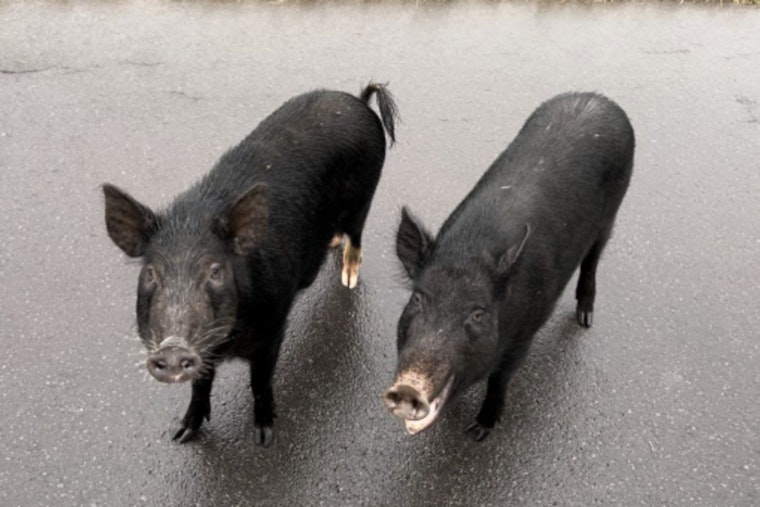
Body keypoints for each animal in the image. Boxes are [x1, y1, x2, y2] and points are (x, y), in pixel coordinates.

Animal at [103, 83, 397, 446]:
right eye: (150, 272)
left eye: (215, 271)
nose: (172, 349)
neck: (227, 346)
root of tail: (358, 99)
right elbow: (200, 385)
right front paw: (182, 434)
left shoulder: (273, 329)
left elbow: (260, 381)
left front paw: (264, 437)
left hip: (366, 194)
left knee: (356, 235)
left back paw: (348, 278)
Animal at [383, 92, 634, 441]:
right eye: (418, 298)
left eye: (478, 314)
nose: (408, 389)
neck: (468, 252)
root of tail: (598, 98)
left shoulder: (523, 335)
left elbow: (500, 379)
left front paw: (478, 431)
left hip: (613, 211)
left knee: (593, 258)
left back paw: (585, 319)